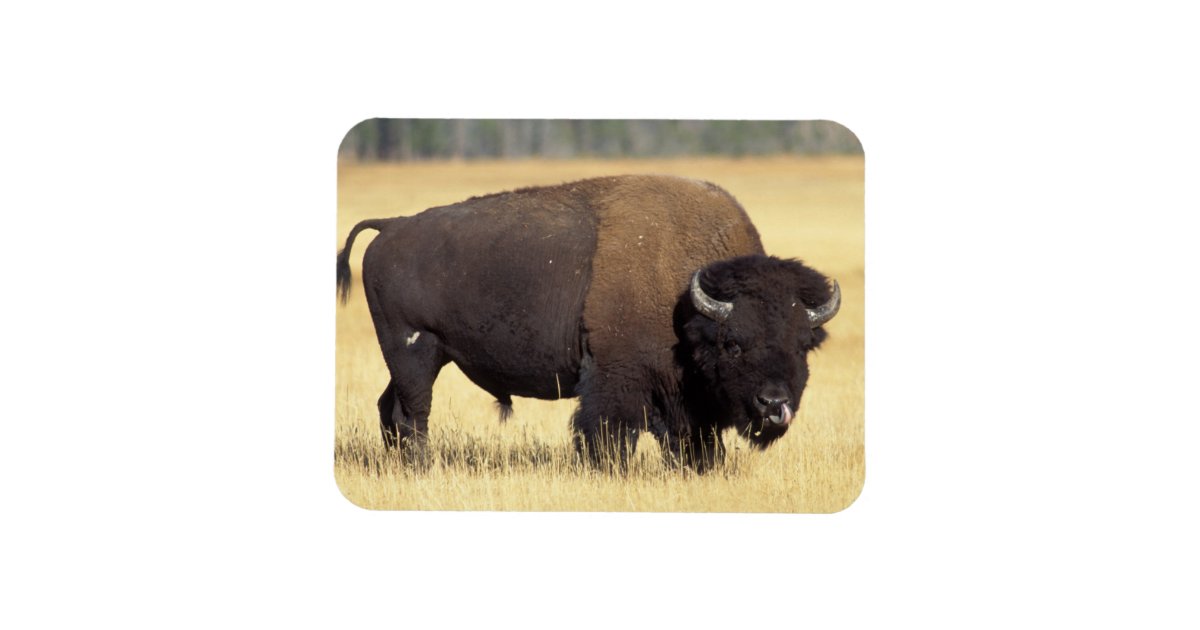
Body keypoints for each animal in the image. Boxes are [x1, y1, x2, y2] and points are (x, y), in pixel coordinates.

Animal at [336, 175, 840, 472]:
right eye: (733, 343)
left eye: (803, 345)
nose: (774, 404)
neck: (684, 293)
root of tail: (391, 226)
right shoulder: (617, 377)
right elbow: (609, 431)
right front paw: (607, 469)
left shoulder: (683, 397)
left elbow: (691, 438)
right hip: (414, 351)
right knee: (413, 413)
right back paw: (421, 466)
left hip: (421, 356)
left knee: (389, 407)